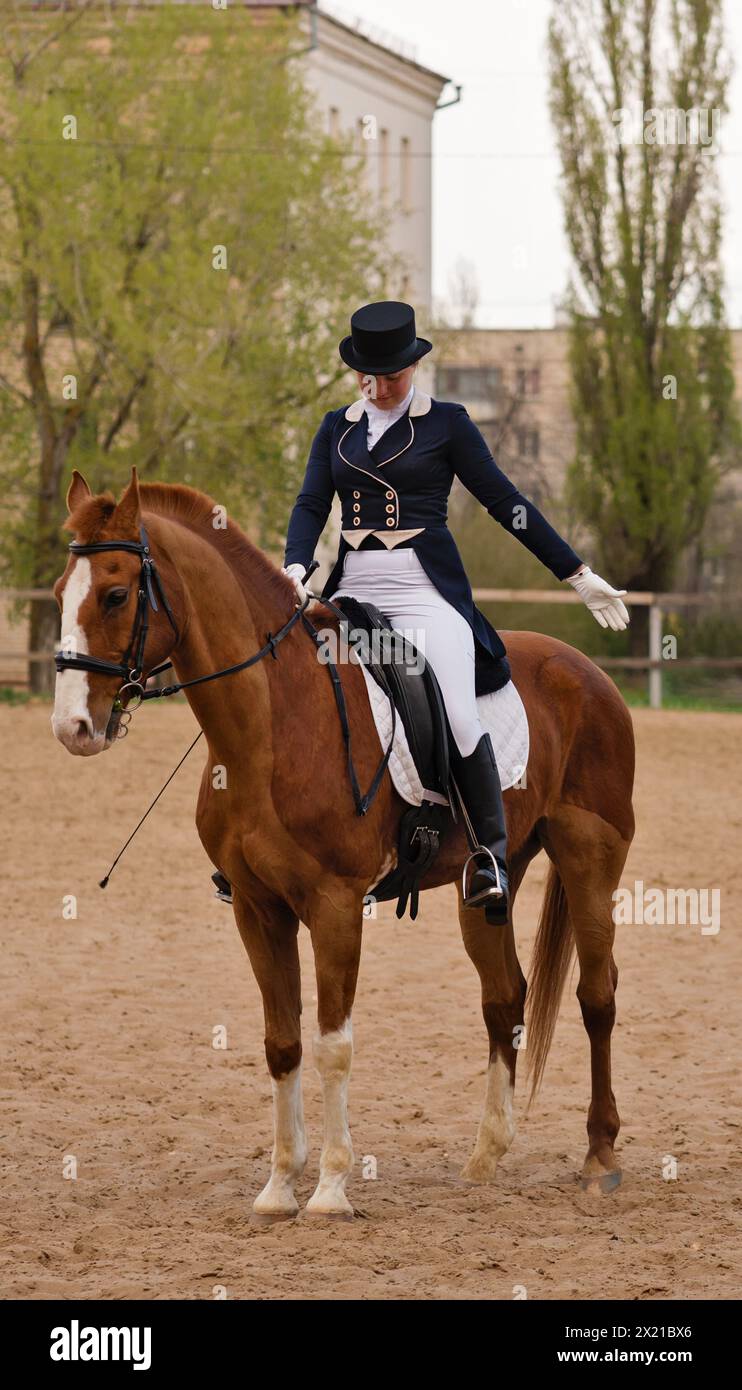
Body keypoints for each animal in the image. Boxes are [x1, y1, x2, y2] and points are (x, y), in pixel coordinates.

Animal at [51, 469, 635, 1218]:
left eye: (117, 594)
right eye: (61, 591)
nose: (73, 727)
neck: (271, 722)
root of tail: (585, 670)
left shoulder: (334, 906)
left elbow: (333, 1045)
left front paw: (330, 1189)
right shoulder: (257, 908)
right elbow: (282, 1043)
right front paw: (278, 1187)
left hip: (592, 861)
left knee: (598, 996)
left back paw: (600, 1156)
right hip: (485, 887)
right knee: (505, 997)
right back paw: (485, 1156)